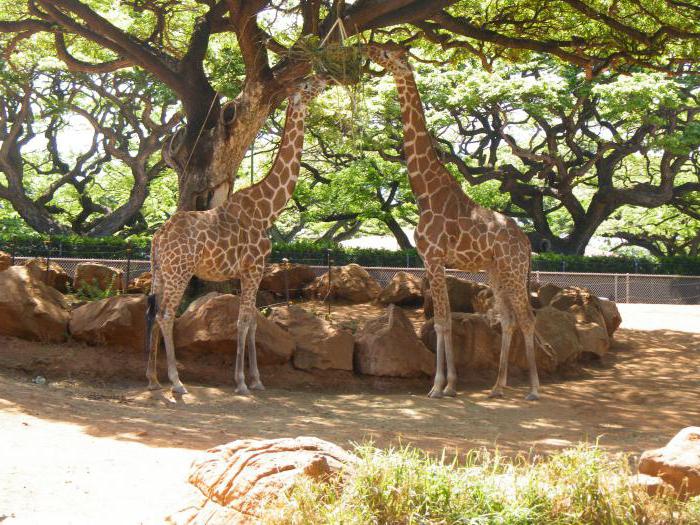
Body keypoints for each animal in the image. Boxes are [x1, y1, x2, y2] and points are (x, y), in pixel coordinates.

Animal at [146, 73, 326, 392]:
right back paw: (177, 382)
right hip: (180, 271)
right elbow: (243, 322)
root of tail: (158, 237)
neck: (268, 209)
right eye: (306, 86)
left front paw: (256, 380)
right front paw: (242, 382)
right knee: (167, 315)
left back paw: (153, 380)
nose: (325, 79)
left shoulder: (248, 271)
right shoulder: (254, 267)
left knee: (154, 313)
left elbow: (252, 321)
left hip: (160, 271)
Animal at [366, 43, 540, 400]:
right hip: (495, 270)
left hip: (514, 270)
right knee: (508, 319)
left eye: (389, 53)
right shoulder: (429, 261)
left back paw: (533, 389)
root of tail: (527, 242)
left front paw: (439, 385)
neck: (424, 192)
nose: (368, 47)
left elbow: (443, 321)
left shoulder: (434, 257)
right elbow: (440, 321)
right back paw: (497, 386)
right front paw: (449, 384)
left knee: (527, 319)